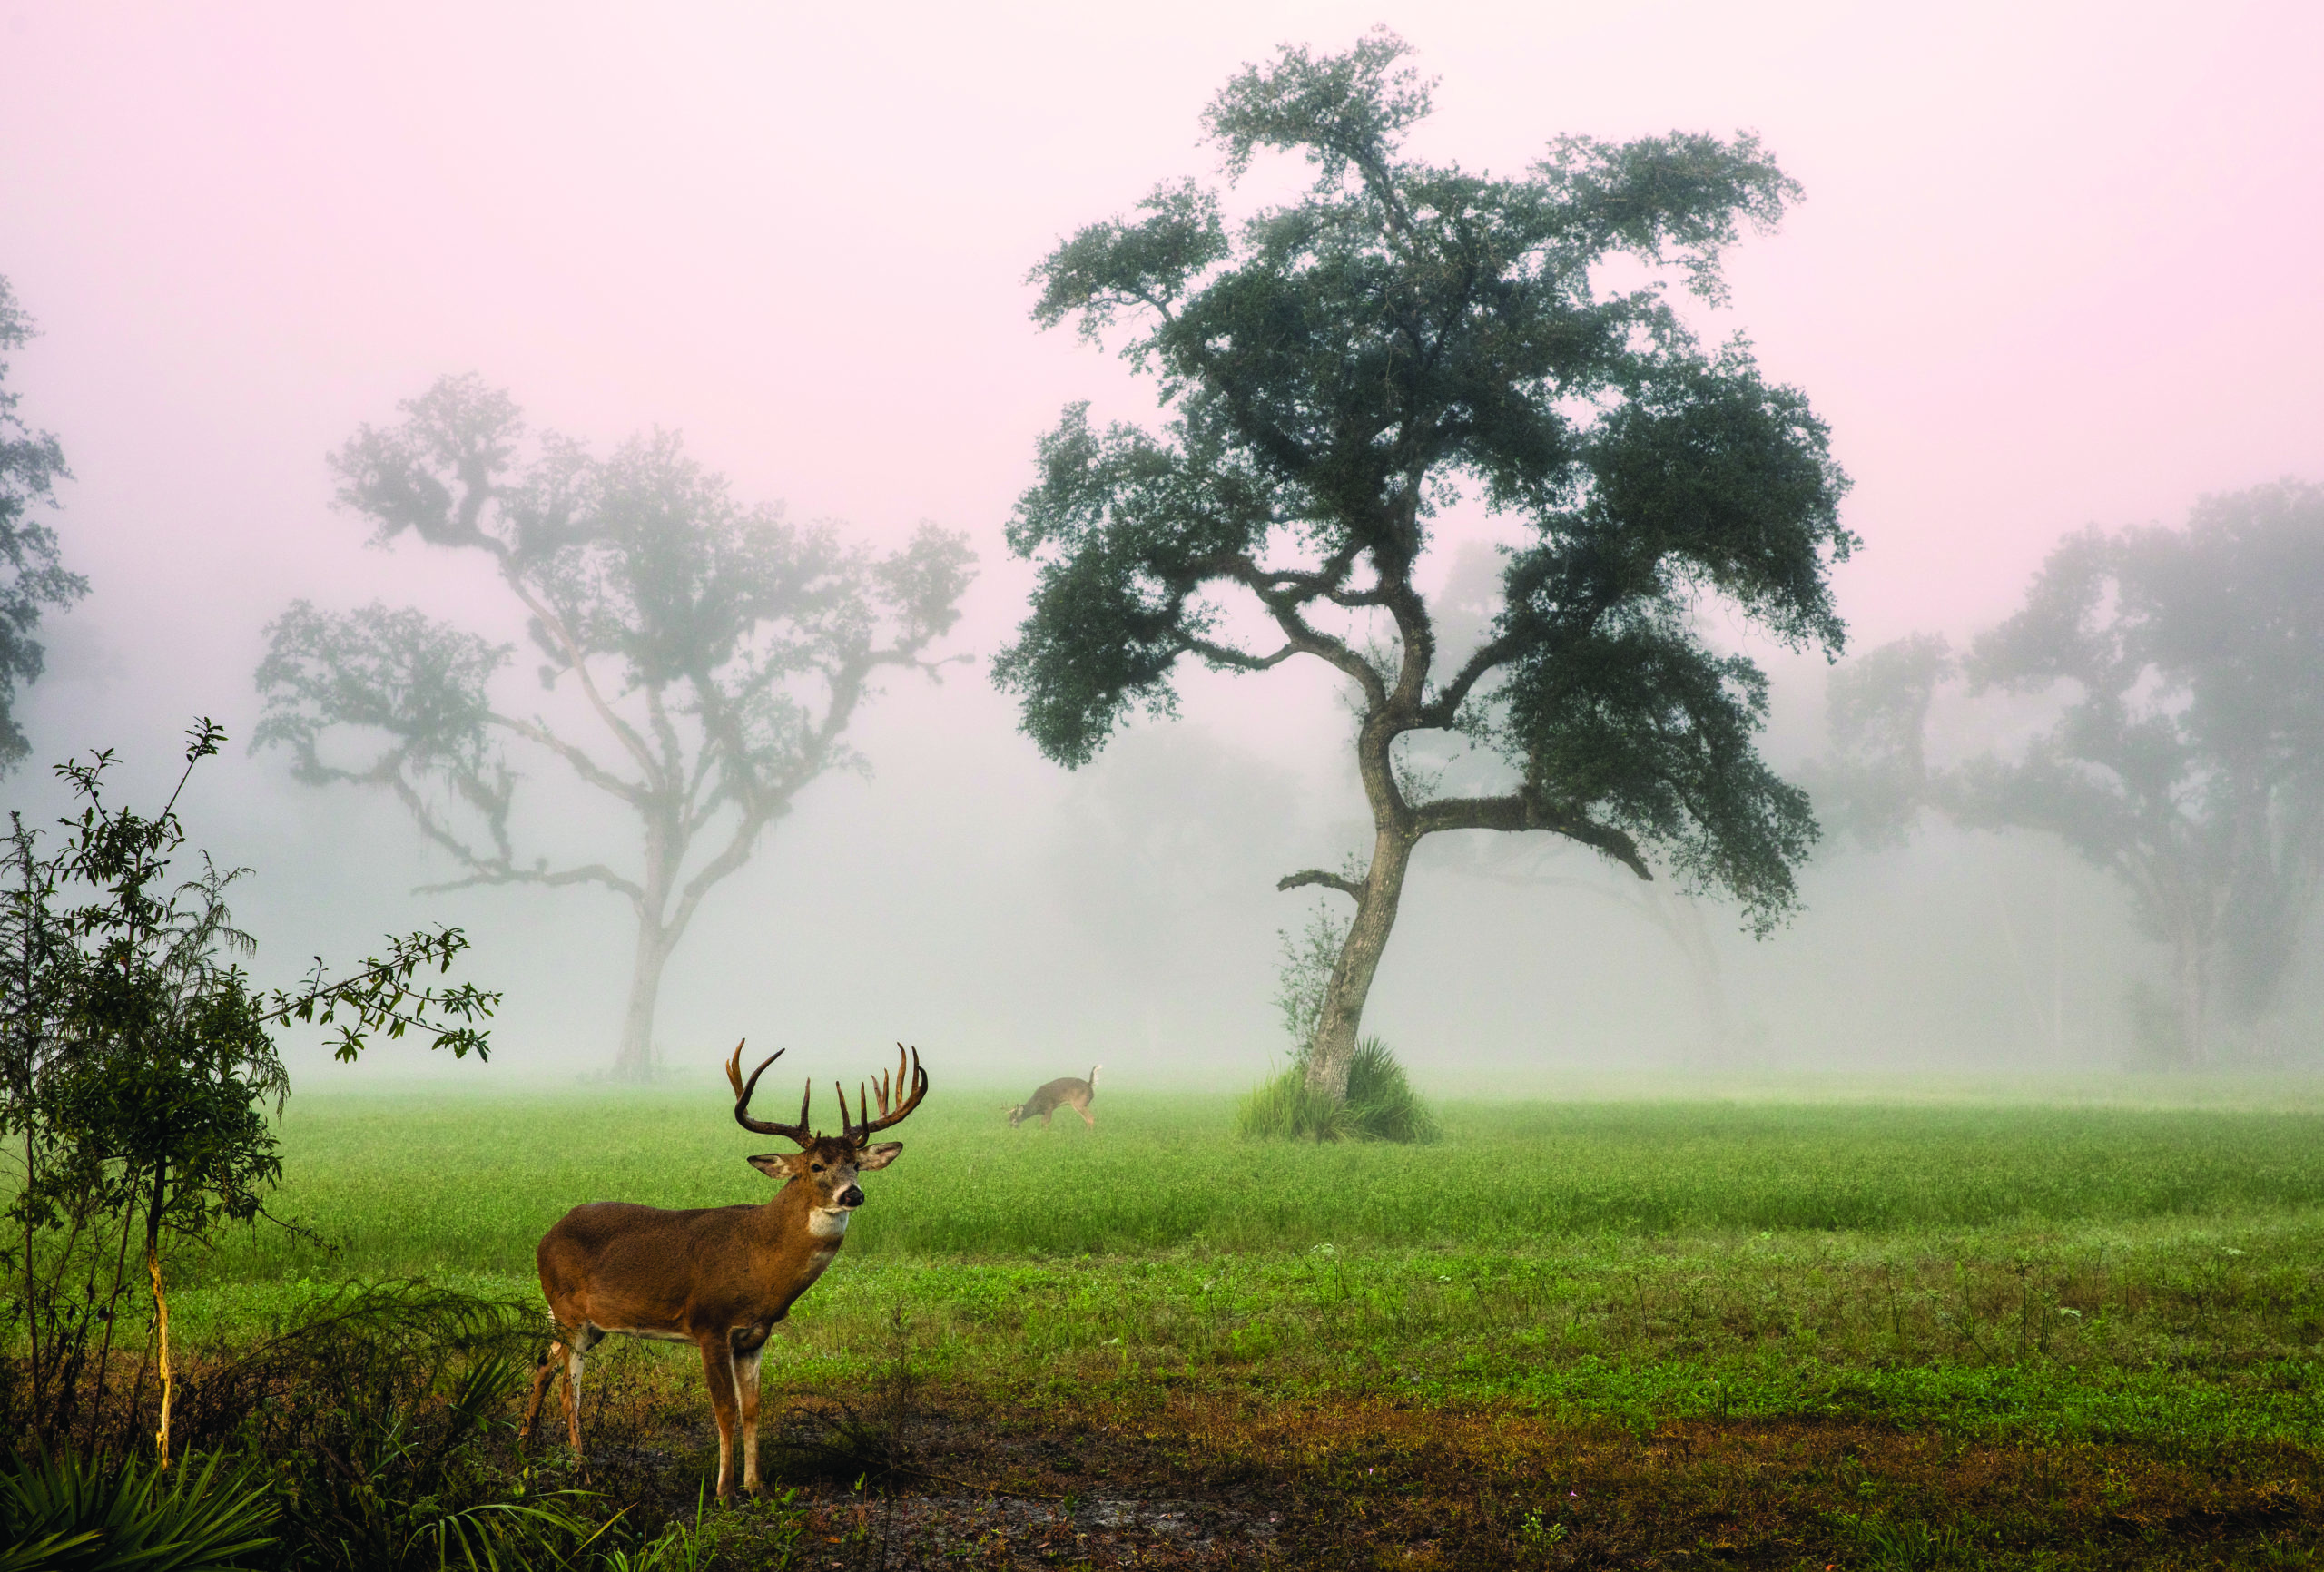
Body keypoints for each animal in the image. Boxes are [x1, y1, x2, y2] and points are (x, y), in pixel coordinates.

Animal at [518, 1040, 928, 1498]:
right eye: (816, 1166)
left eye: (856, 1164)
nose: (852, 1194)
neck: (759, 1261)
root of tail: (546, 1236)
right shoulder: (709, 1324)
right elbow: (725, 1408)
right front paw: (723, 1491)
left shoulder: (754, 1336)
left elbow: (753, 1408)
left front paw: (756, 1486)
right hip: (570, 1313)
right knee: (569, 1390)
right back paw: (581, 1475)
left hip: (586, 1323)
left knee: (542, 1365)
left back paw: (526, 1457)